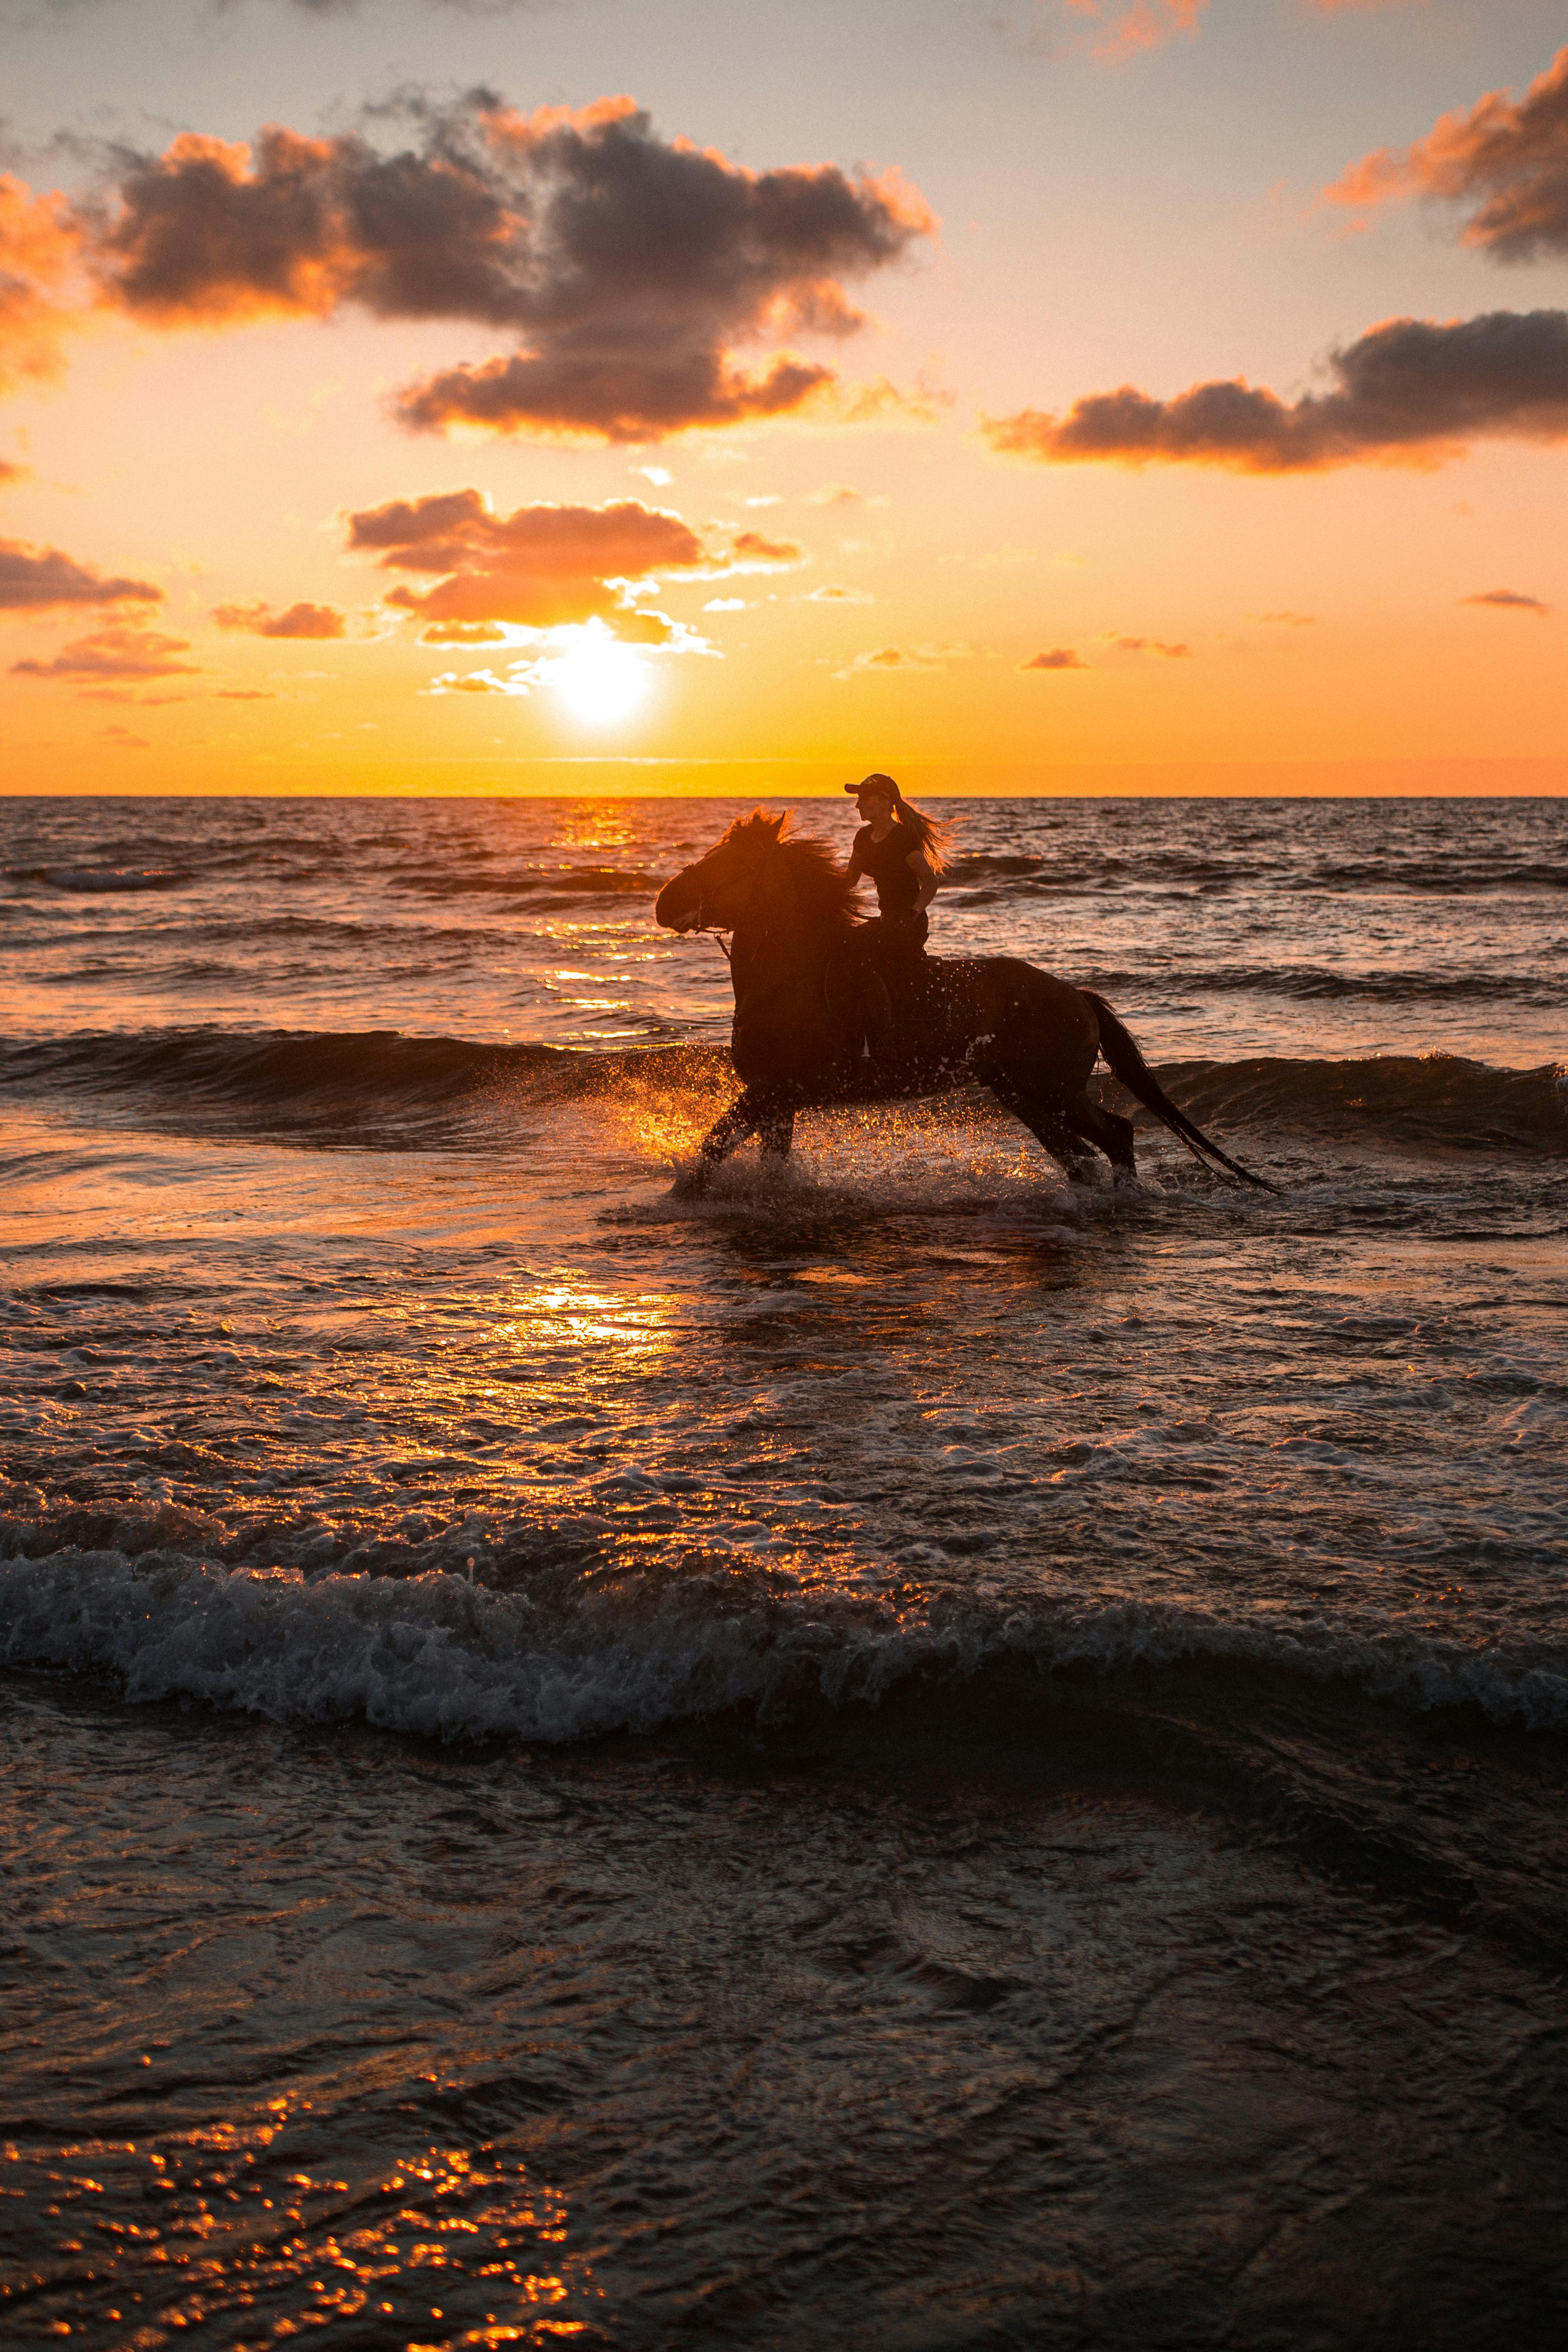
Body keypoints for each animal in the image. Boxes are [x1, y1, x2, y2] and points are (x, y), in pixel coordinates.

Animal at [654, 809, 1274, 1192]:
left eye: (733, 864)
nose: (664, 903)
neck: (793, 977)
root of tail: (1076, 997)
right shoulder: (777, 1101)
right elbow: (755, 1162)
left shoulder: (773, 1091)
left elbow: (710, 1151)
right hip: (1020, 1093)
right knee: (1078, 1156)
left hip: (1052, 1090)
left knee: (1115, 1135)